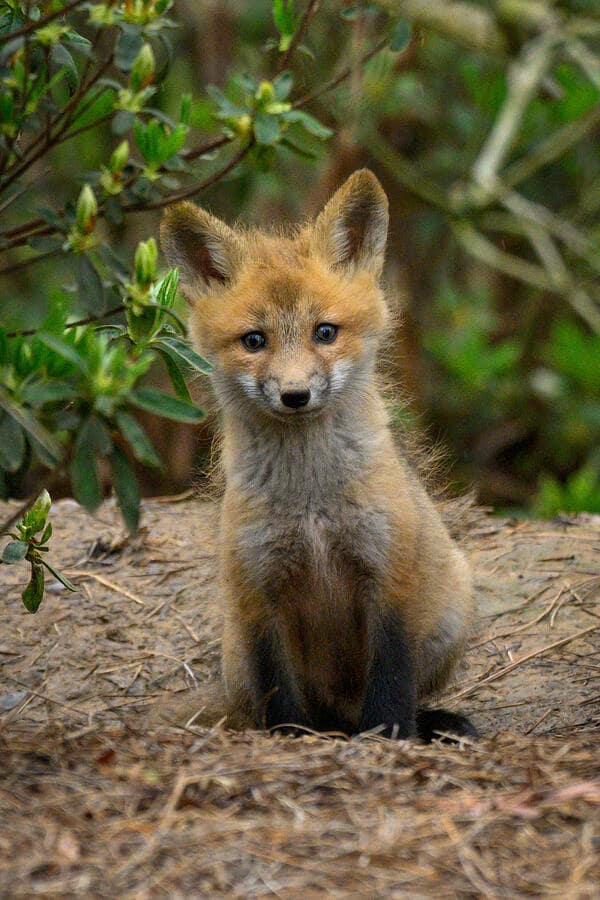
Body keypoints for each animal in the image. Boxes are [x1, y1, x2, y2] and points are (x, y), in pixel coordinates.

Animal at [160, 169, 476, 741]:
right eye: (254, 341)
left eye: (324, 332)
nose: (295, 395)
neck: (311, 505)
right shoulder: (259, 593)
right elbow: (281, 695)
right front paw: (292, 739)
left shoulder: (388, 575)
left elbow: (392, 680)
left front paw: (390, 737)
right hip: (238, 654)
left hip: (451, 613)